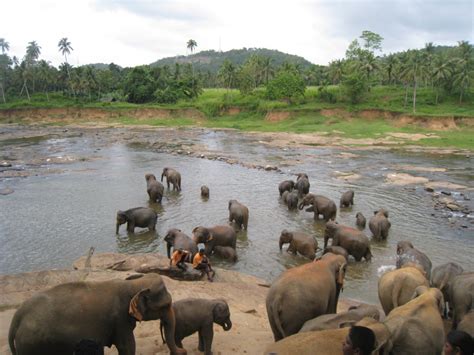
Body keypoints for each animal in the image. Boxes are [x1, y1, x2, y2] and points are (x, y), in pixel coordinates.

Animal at [7, 274, 185, 354]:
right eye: (165, 305)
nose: (183, 351)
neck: (132, 285)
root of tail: (17, 316)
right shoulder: (120, 320)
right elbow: (127, 346)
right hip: (32, 345)